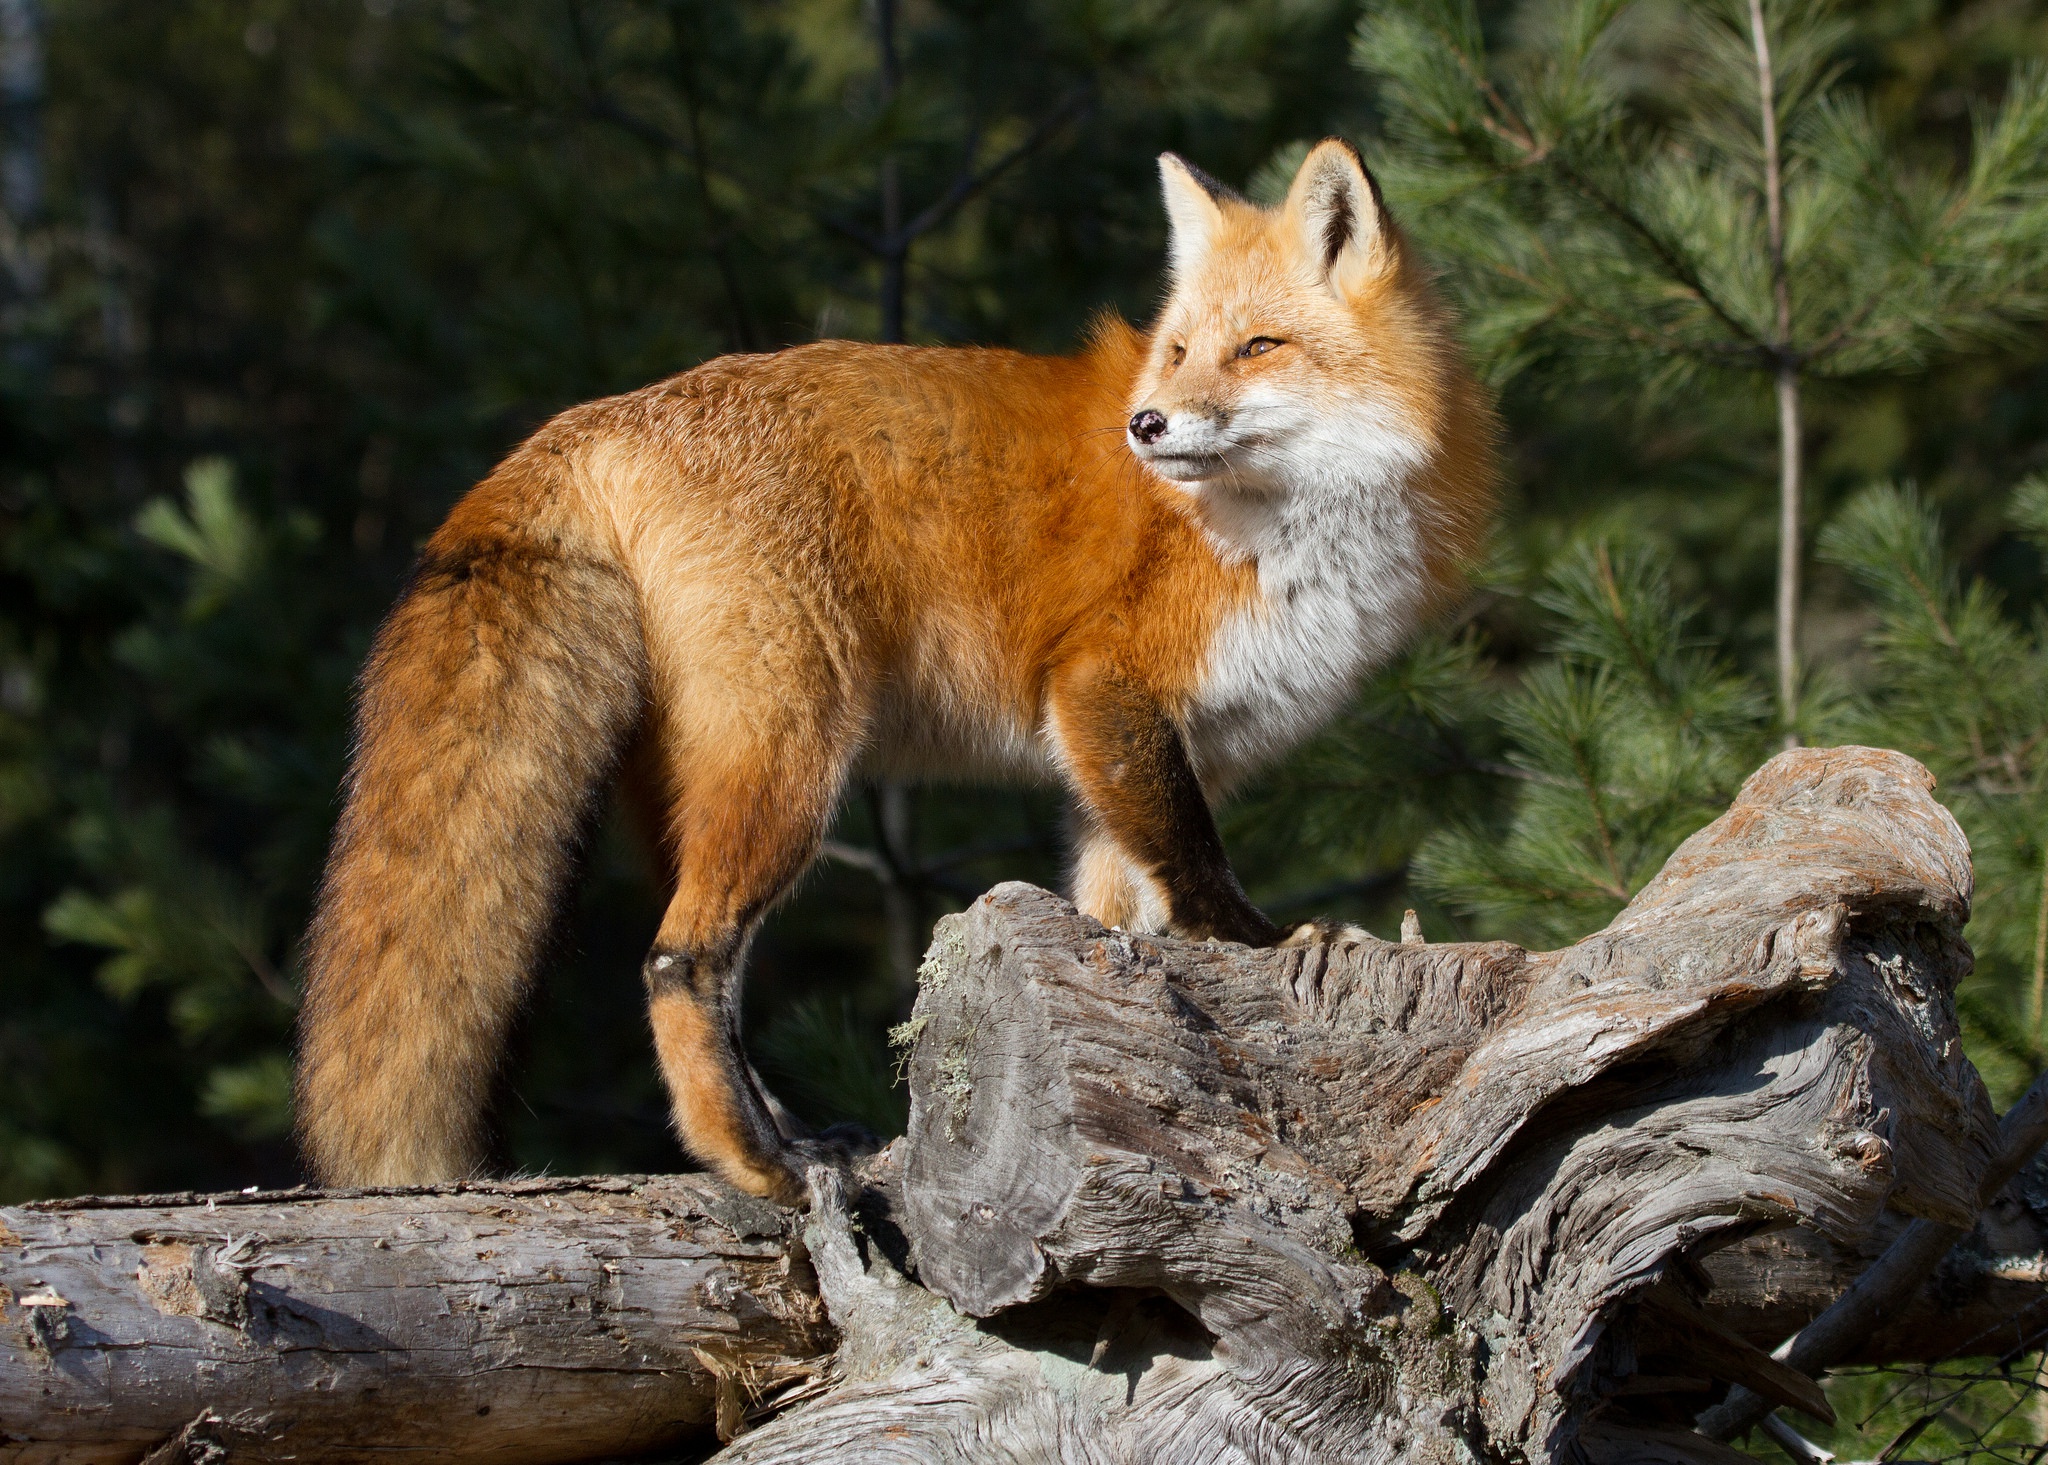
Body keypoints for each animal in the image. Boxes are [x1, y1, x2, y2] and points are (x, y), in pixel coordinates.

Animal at [296, 139, 1497, 1205]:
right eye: (1176, 352)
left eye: (1256, 347)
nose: (1146, 424)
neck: (1280, 529)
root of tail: (596, 418)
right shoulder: (1104, 692)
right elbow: (1202, 881)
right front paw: (1269, 944)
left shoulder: (1135, 762)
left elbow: (1118, 920)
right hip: (792, 764)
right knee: (680, 961)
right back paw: (761, 1167)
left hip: (693, 784)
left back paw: (778, 1136)